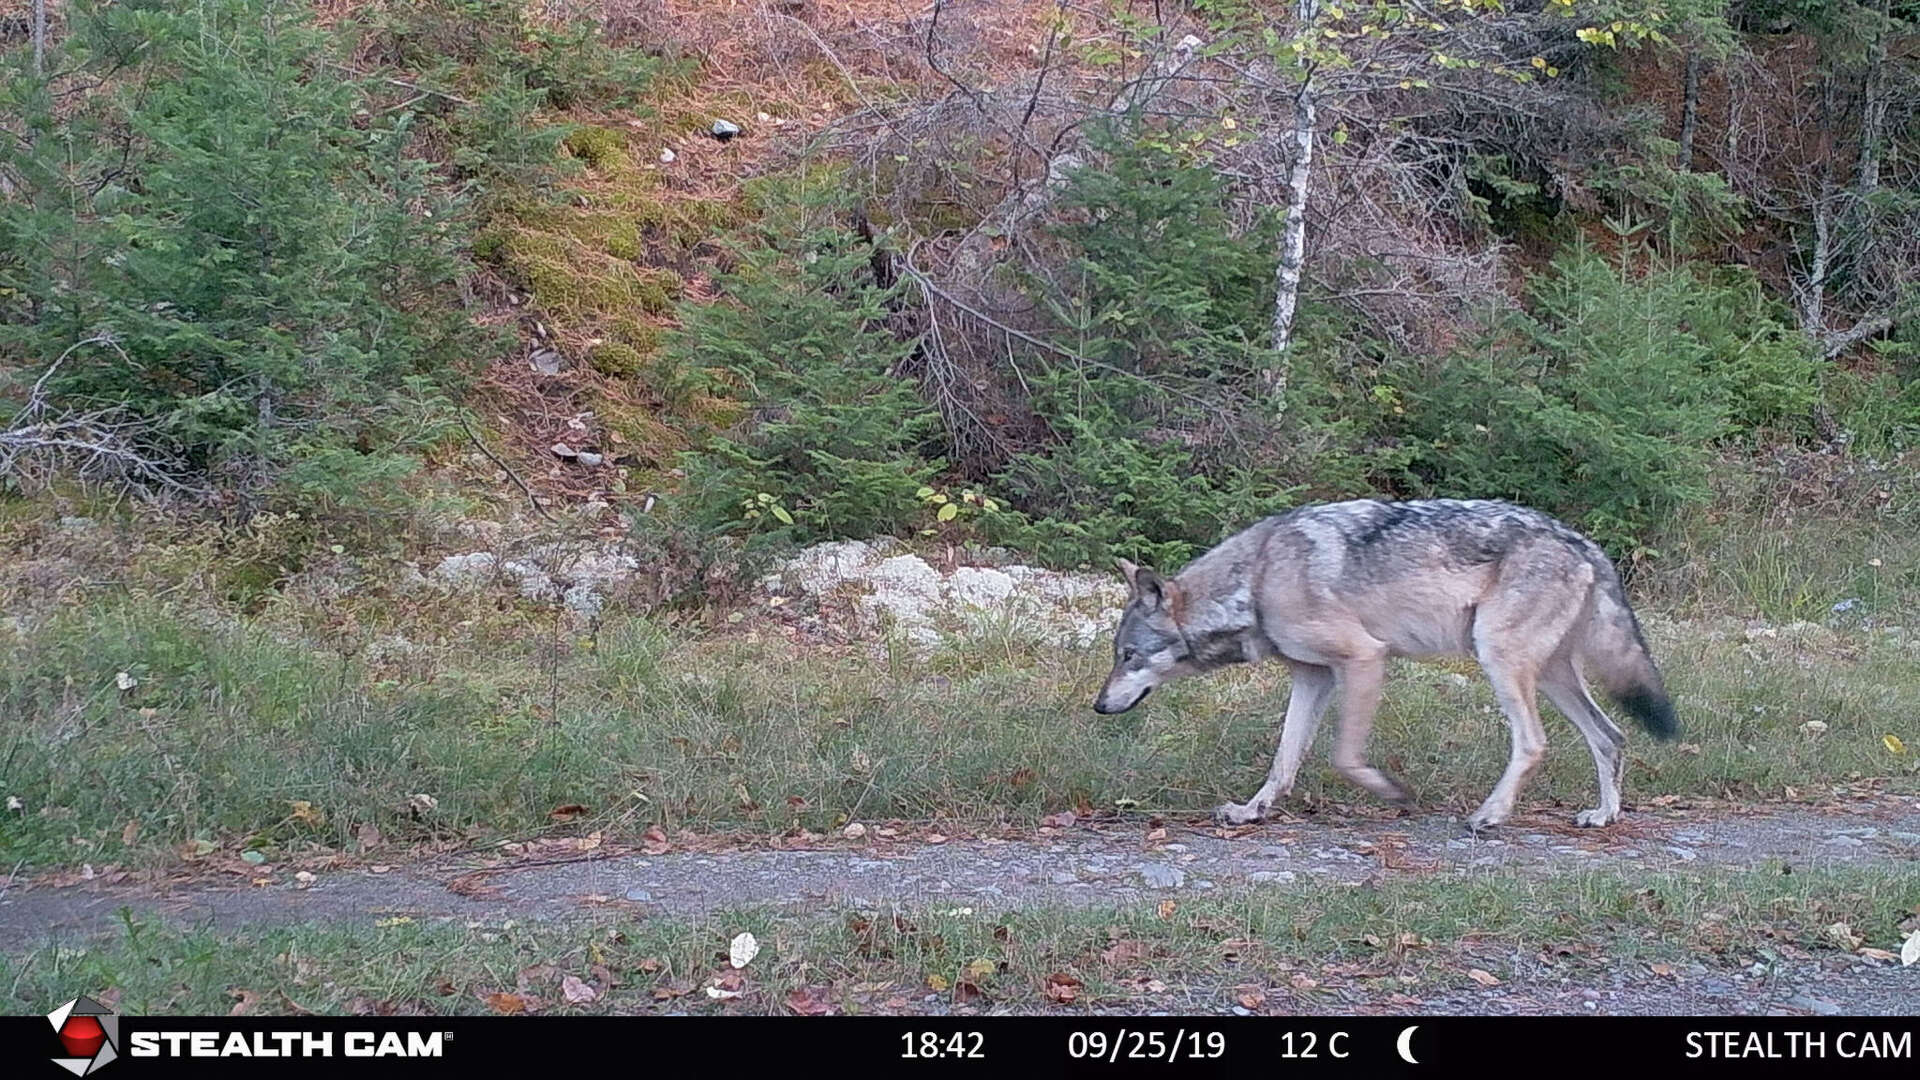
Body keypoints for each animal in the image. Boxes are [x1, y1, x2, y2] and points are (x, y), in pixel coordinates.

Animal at [1092, 499, 1677, 831]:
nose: (1098, 706)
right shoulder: (1312, 677)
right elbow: (1283, 761)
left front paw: (1393, 793)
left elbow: (1344, 757)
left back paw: (1489, 816)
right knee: (1610, 737)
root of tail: (1585, 544)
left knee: (1534, 742)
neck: (1255, 582)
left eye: (1128, 655)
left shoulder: (1364, 658)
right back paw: (1603, 816)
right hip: (1552, 676)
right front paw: (1250, 812)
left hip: (1500, 660)